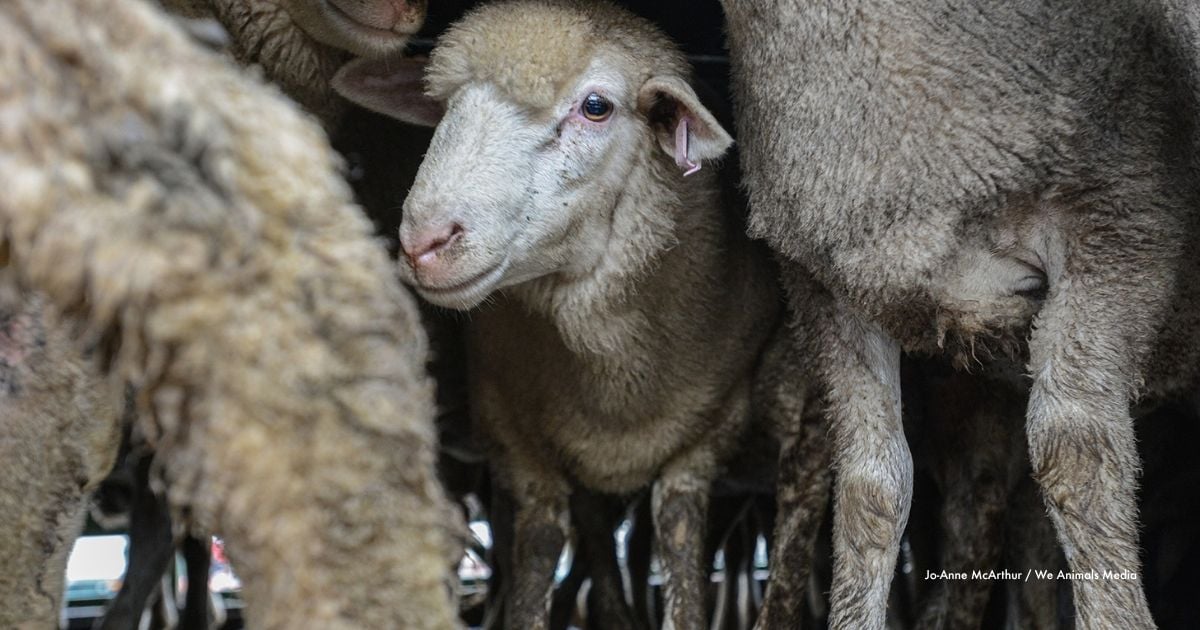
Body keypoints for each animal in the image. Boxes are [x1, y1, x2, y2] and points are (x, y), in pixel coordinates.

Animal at [333, 1, 829, 628]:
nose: (424, 242)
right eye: (443, 106)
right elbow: (539, 553)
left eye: (596, 107)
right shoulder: (515, 433)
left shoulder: (709, 439)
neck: (619, 384)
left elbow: (687, 546)